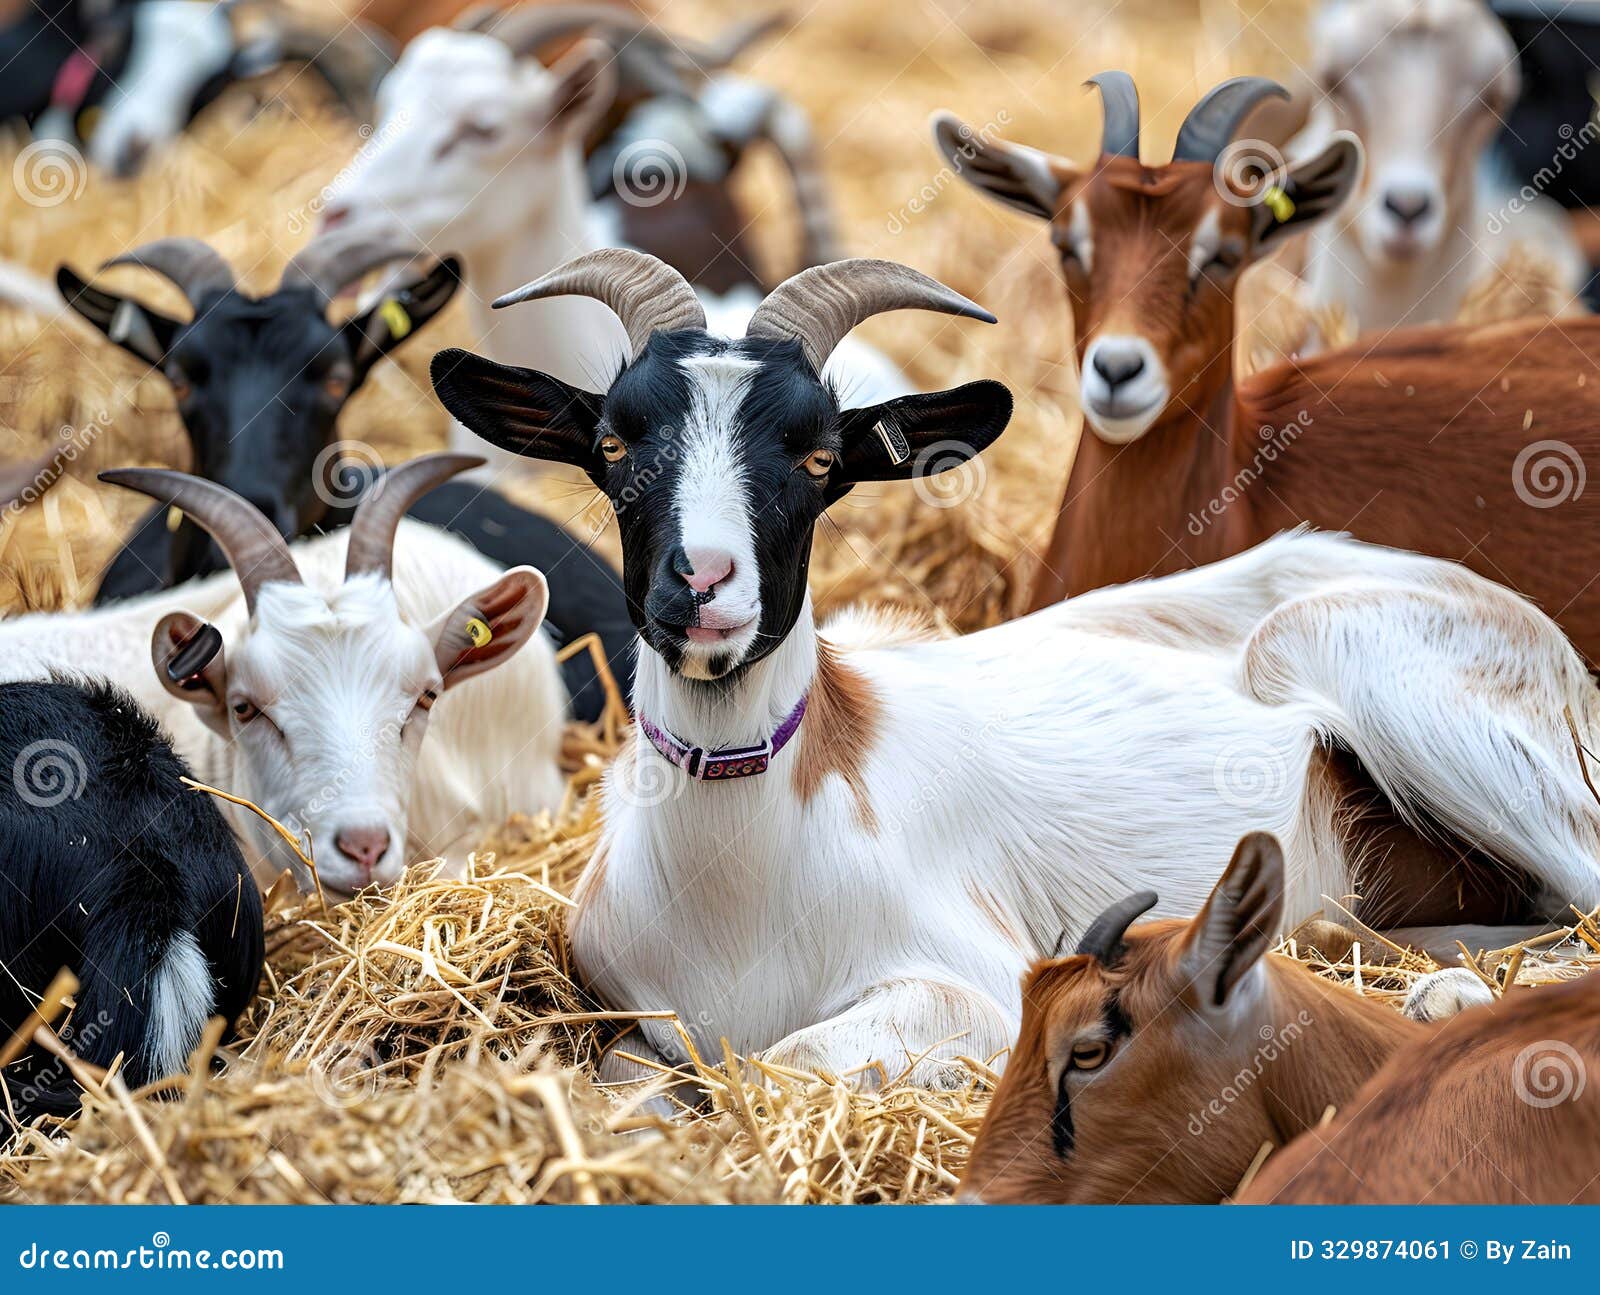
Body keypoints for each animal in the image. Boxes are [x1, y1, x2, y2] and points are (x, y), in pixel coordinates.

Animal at [431, 247, 1600, 1088]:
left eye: (819, 457)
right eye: (615, 446)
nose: (701, 581)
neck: (739, 880)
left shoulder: (973, 982)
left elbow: (777, 1064)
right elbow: (636, 1077)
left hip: (1379, 674)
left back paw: (1449, 1000)